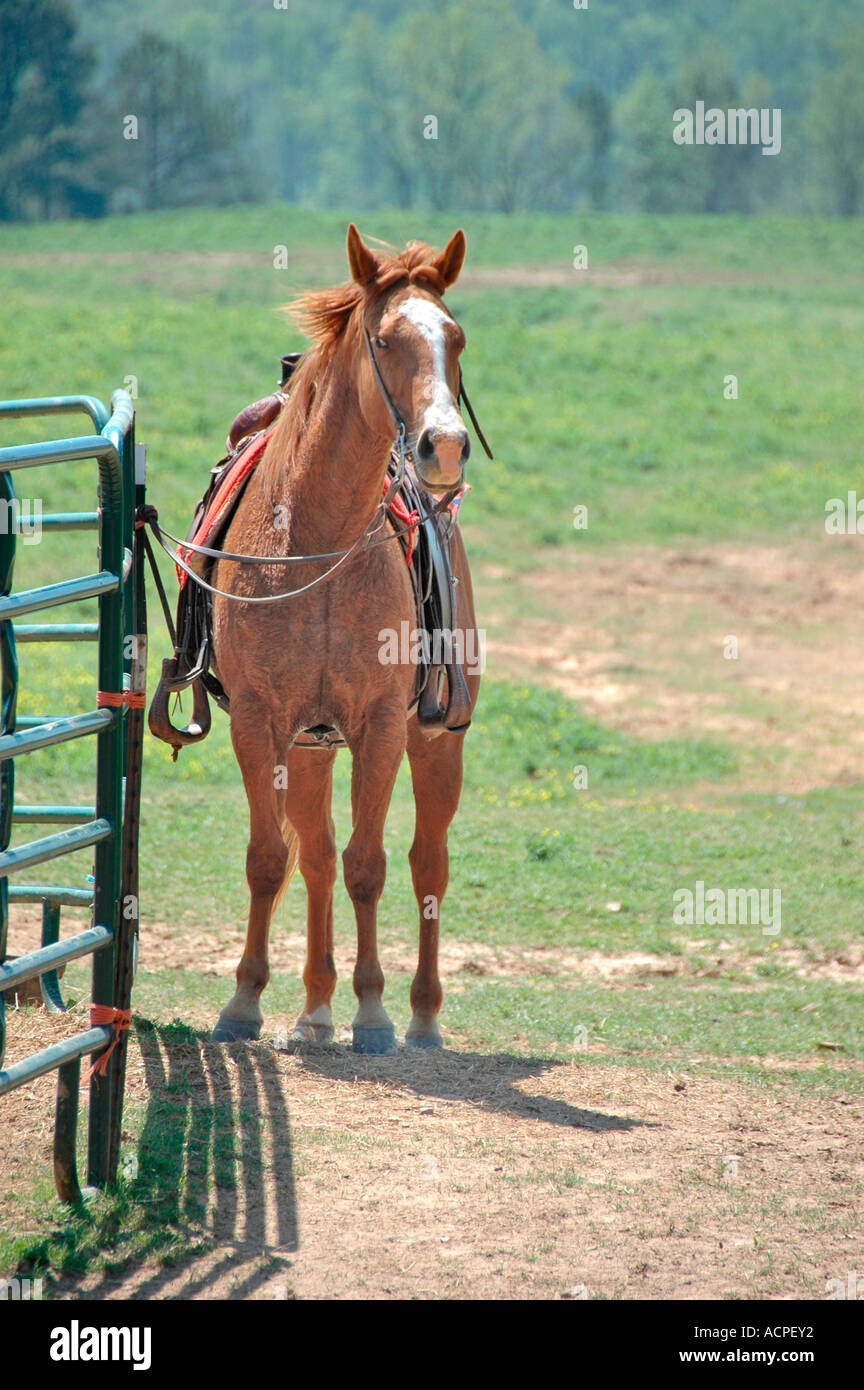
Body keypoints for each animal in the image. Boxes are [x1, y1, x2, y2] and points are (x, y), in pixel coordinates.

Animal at [208, 224, 481, 1053]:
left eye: (456, 337)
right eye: (387, 339)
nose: (444, 447)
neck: (318, 542)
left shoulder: (383, 727)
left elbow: (371, 864)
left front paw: (375, 1012)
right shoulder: (262, 724)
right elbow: (272, 860)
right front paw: (245, 1002)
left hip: (437, 742)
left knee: (428, 865)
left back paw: (421, 1014)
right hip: (308, 747)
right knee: (318, 859)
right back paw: (314, 1009)